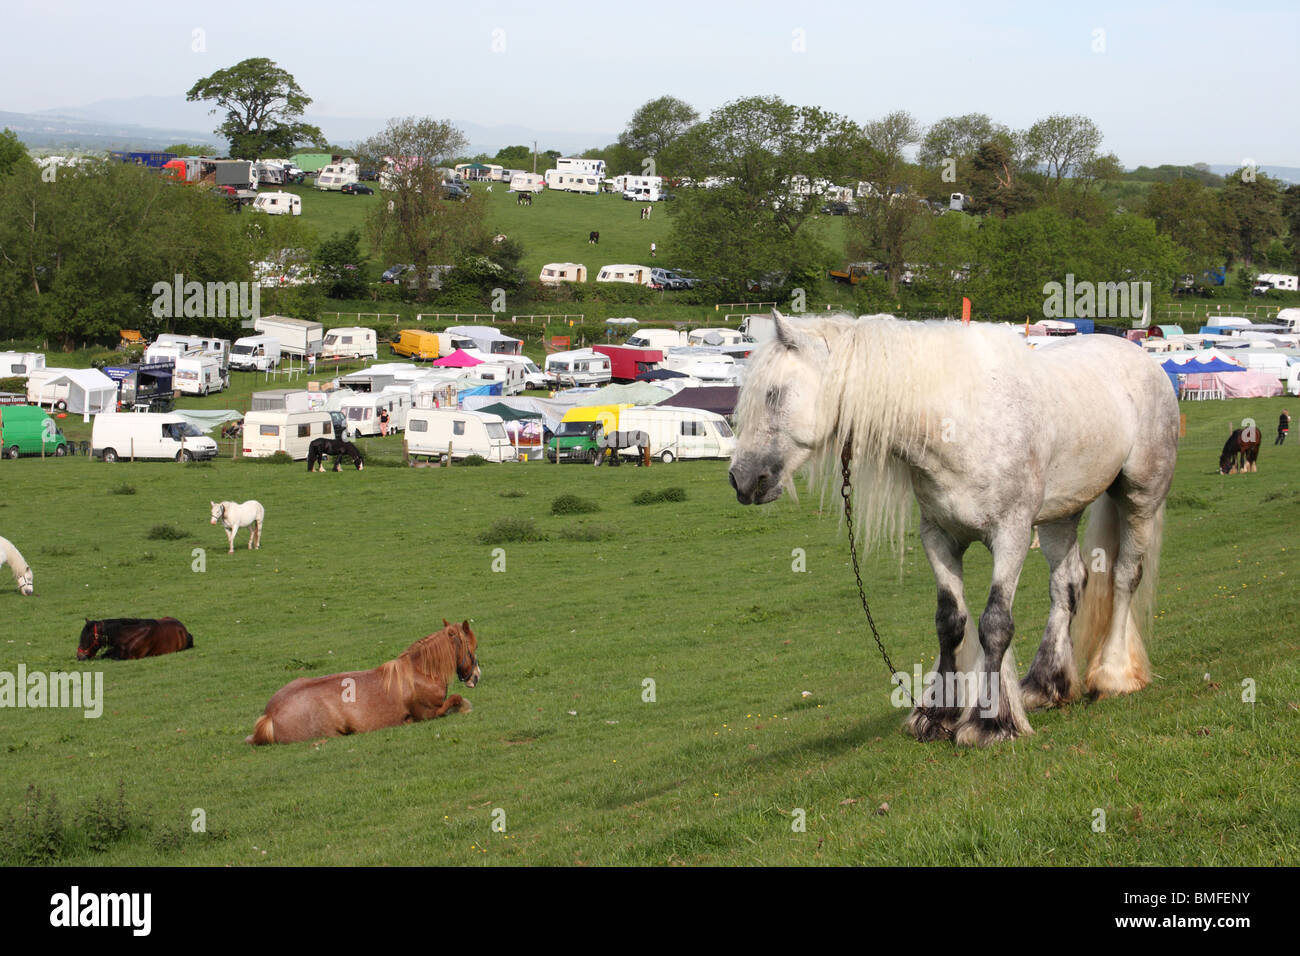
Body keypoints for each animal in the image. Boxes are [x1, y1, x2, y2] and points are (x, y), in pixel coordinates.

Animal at [245, 619, 480, 745]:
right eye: (473, 646)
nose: (476, 676)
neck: (420, 673)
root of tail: (270, 715)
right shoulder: (428, 714)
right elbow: (456, 699)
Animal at [729, 311, 1179, 747]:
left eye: (774, 394)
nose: (740, 479)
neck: (958, 422)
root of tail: (1143, 360)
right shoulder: (939, 538)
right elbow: (950, 623)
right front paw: (937, 716)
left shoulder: (1012, 536)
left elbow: (995, 623)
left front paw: (991, 723)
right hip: (1059, 516)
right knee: (1067, 585)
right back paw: (1046, 684)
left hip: (1139, 499)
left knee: (1124, 577)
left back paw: (1113, 675)